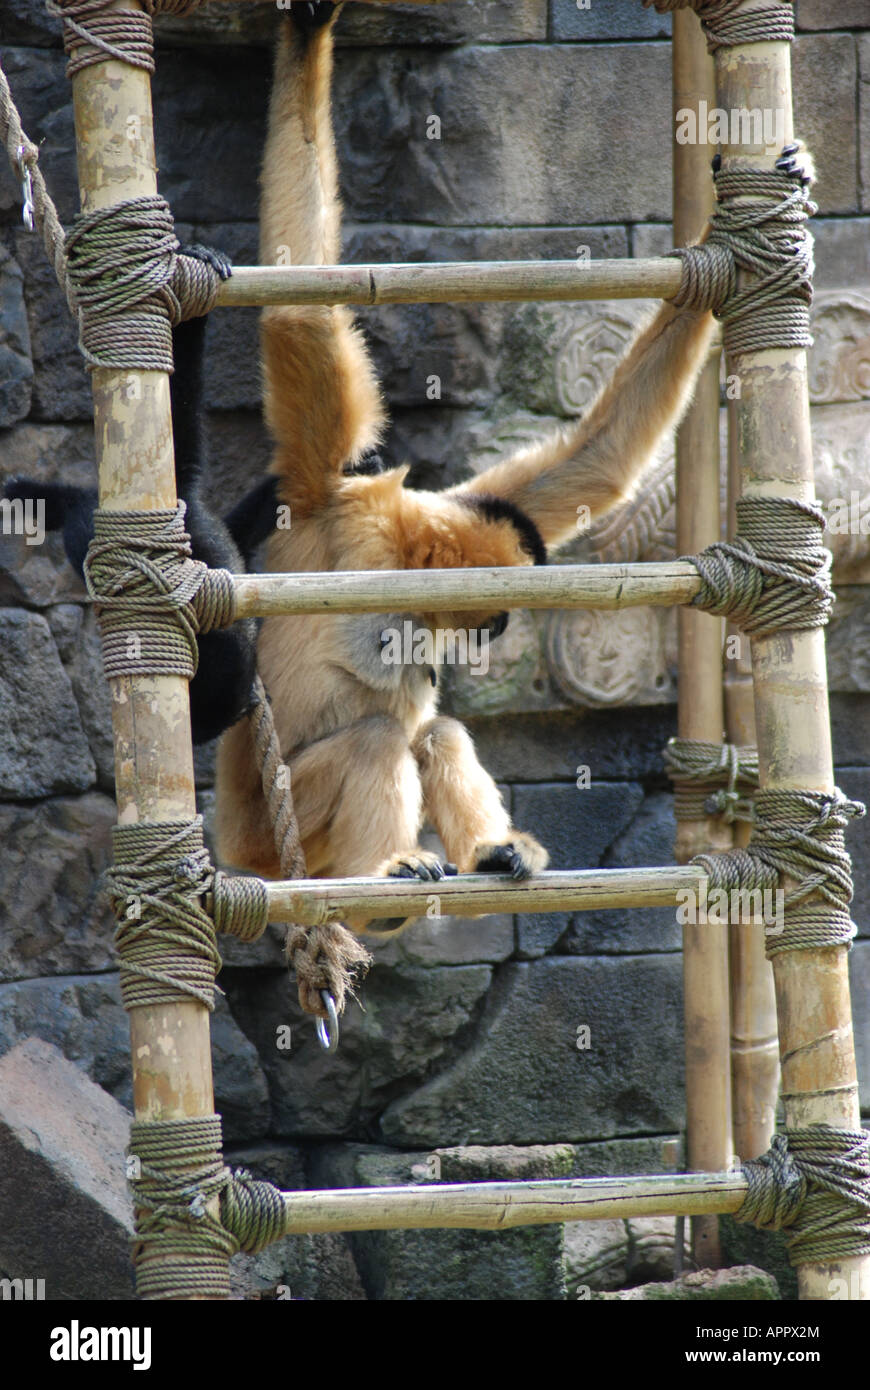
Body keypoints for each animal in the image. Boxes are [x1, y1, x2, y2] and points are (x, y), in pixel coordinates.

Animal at [213, 1, 716, 939]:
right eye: (496, 614)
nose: (501, 629)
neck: (397, 558)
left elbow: (592, 465)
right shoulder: (327, 505)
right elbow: (302, 321)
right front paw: (308, 33)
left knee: (434, 733)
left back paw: (493, 852)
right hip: (277, 833)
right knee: (383, 738)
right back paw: (382, 879)